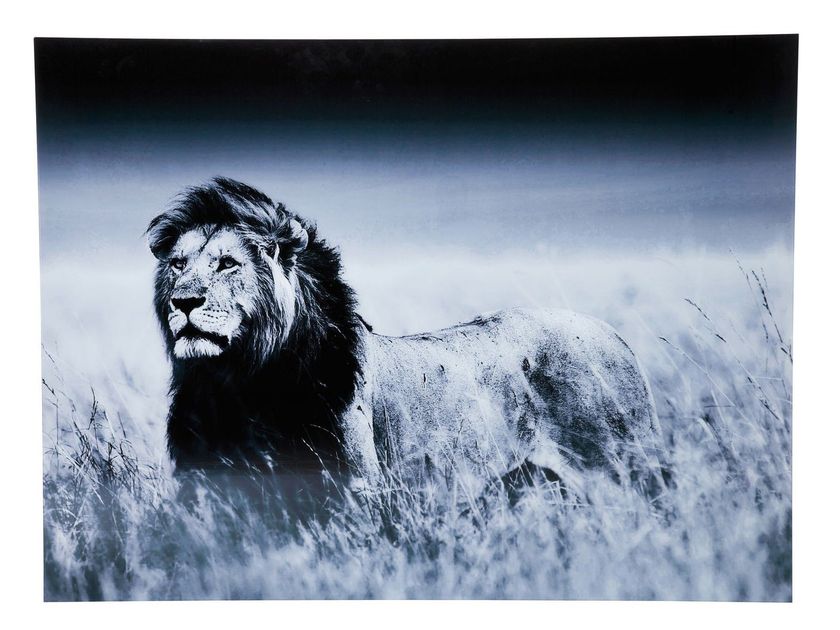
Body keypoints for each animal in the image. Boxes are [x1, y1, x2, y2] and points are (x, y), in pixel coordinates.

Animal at [147, 177, 664, 495]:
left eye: (227, 263)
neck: (240, 382)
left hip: (622, 471)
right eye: (178, 265)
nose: (184, 302)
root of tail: (613, 334)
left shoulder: (354, 489)